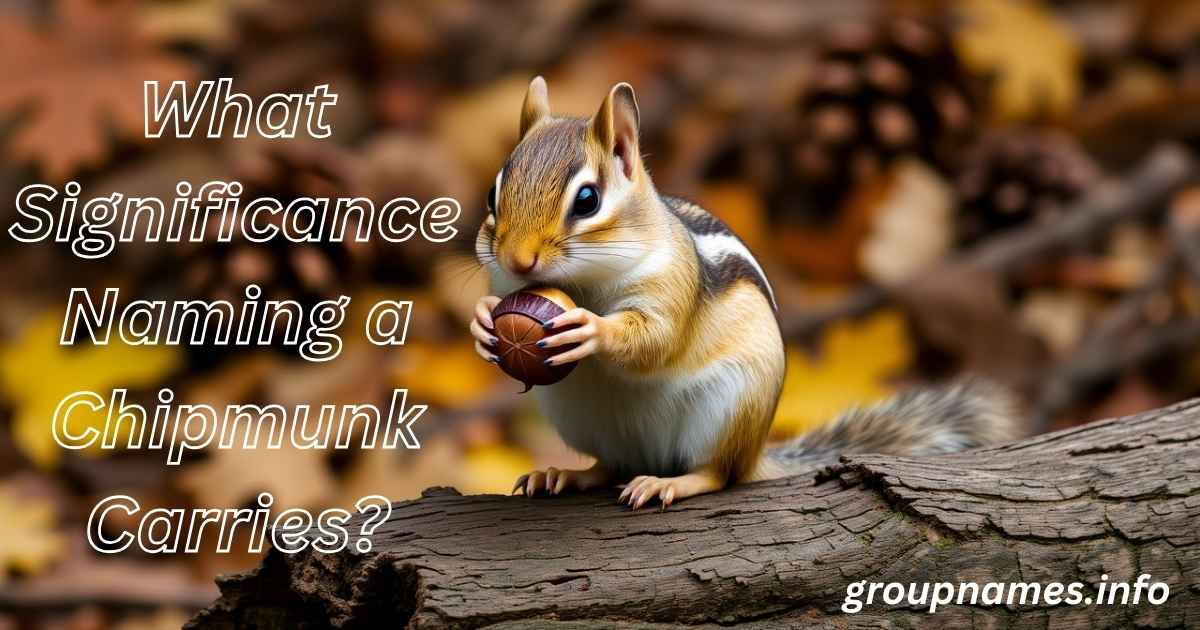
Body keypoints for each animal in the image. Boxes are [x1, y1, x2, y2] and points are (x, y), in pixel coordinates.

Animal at [469, 77, 1017, 509]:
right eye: (494, 194)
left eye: (587, 200)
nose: (518, 260)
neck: (586, 281)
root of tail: (756, 453)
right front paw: (481, 319)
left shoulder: (672, 283)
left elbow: (654, 340)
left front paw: (591, 328)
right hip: (581, 418)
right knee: (608, 465)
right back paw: (563, 473)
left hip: (729, 406)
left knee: (718, 474)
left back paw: (671, 484)